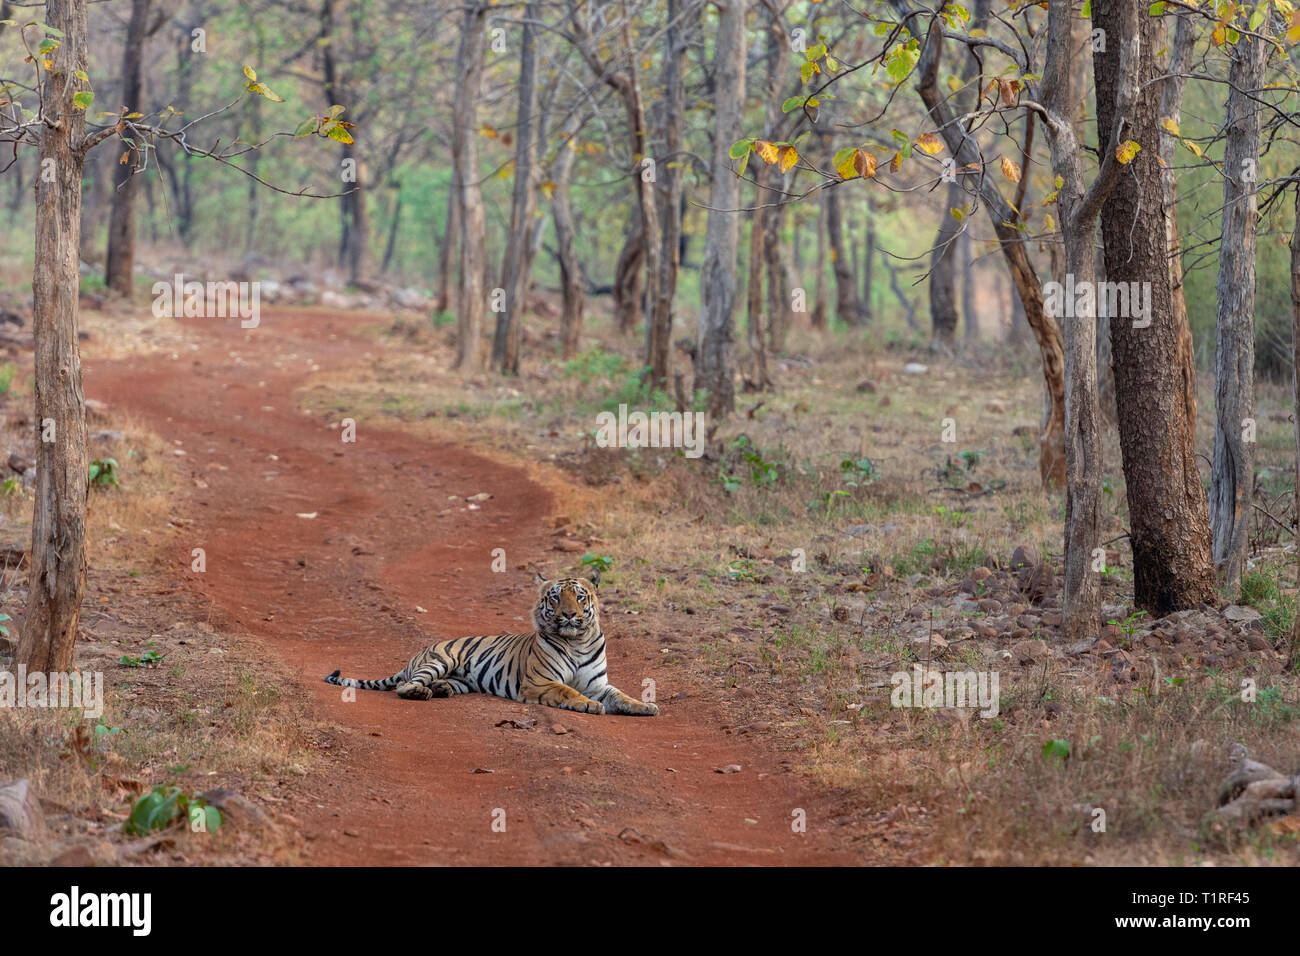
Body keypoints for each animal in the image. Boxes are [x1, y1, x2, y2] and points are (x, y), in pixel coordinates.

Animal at [323, 571, 658, 716]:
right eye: (555, 597)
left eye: (579, 596)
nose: (568, 615)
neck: (577, 641)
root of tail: (416, 655)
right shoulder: (540, 682)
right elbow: (568, 690)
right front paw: (588, 705)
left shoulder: (599, 684)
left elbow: (622, 695)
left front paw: (646, 706)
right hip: (440, 660)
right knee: (407, 685)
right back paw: (420, 692)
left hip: (461, 681)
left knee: (440, 684)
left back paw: (440, 689)